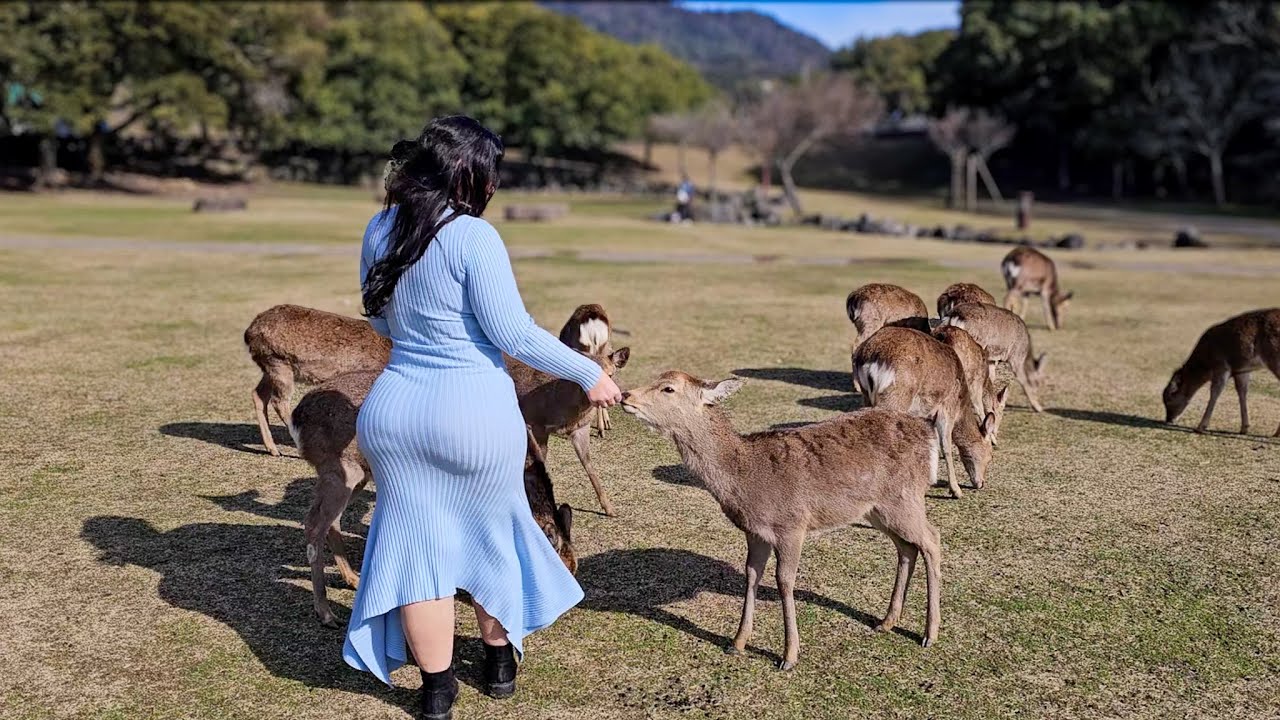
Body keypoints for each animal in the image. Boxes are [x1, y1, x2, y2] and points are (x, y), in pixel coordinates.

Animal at [243, 304, 390, 457]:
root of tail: (249, 333)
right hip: (279, 364)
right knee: (279, 401)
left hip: (269, 367)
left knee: (258, 395)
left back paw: (273, 449)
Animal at [290, 370, 577, 627]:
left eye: (573, 570)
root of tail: (297, 417)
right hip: (340, 470)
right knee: (313, 523)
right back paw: (326, 613)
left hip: (357, 476)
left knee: (332, 521)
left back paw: (353, 579)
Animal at [507, 345, 631, 517]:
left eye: (611, 374)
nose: (606, 396)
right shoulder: (538, 424)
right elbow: (541, 462)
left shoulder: (581, 428)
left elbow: (588, 464)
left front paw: (609, 508)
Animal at [620, 371, 943, 670]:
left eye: (668, 388)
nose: (625, 395)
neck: (745, 480)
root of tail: (927, 432)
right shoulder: (755, 532)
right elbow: (752, 574)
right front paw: (737, 642)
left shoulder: (792, 526)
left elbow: (784, 581)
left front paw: (789, 656)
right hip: (877, 510)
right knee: (907, 548)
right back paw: (886, 621)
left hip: (905, 498)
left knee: (932, 539)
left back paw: (930, 633)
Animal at [853, 327, 996, 499]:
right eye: (990, 456)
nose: (981, 484)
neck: (961, 404)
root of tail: (871, 359)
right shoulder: (946, 409)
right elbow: (946, 447)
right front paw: (956, 491)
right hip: (895, 398)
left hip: (866, 396)